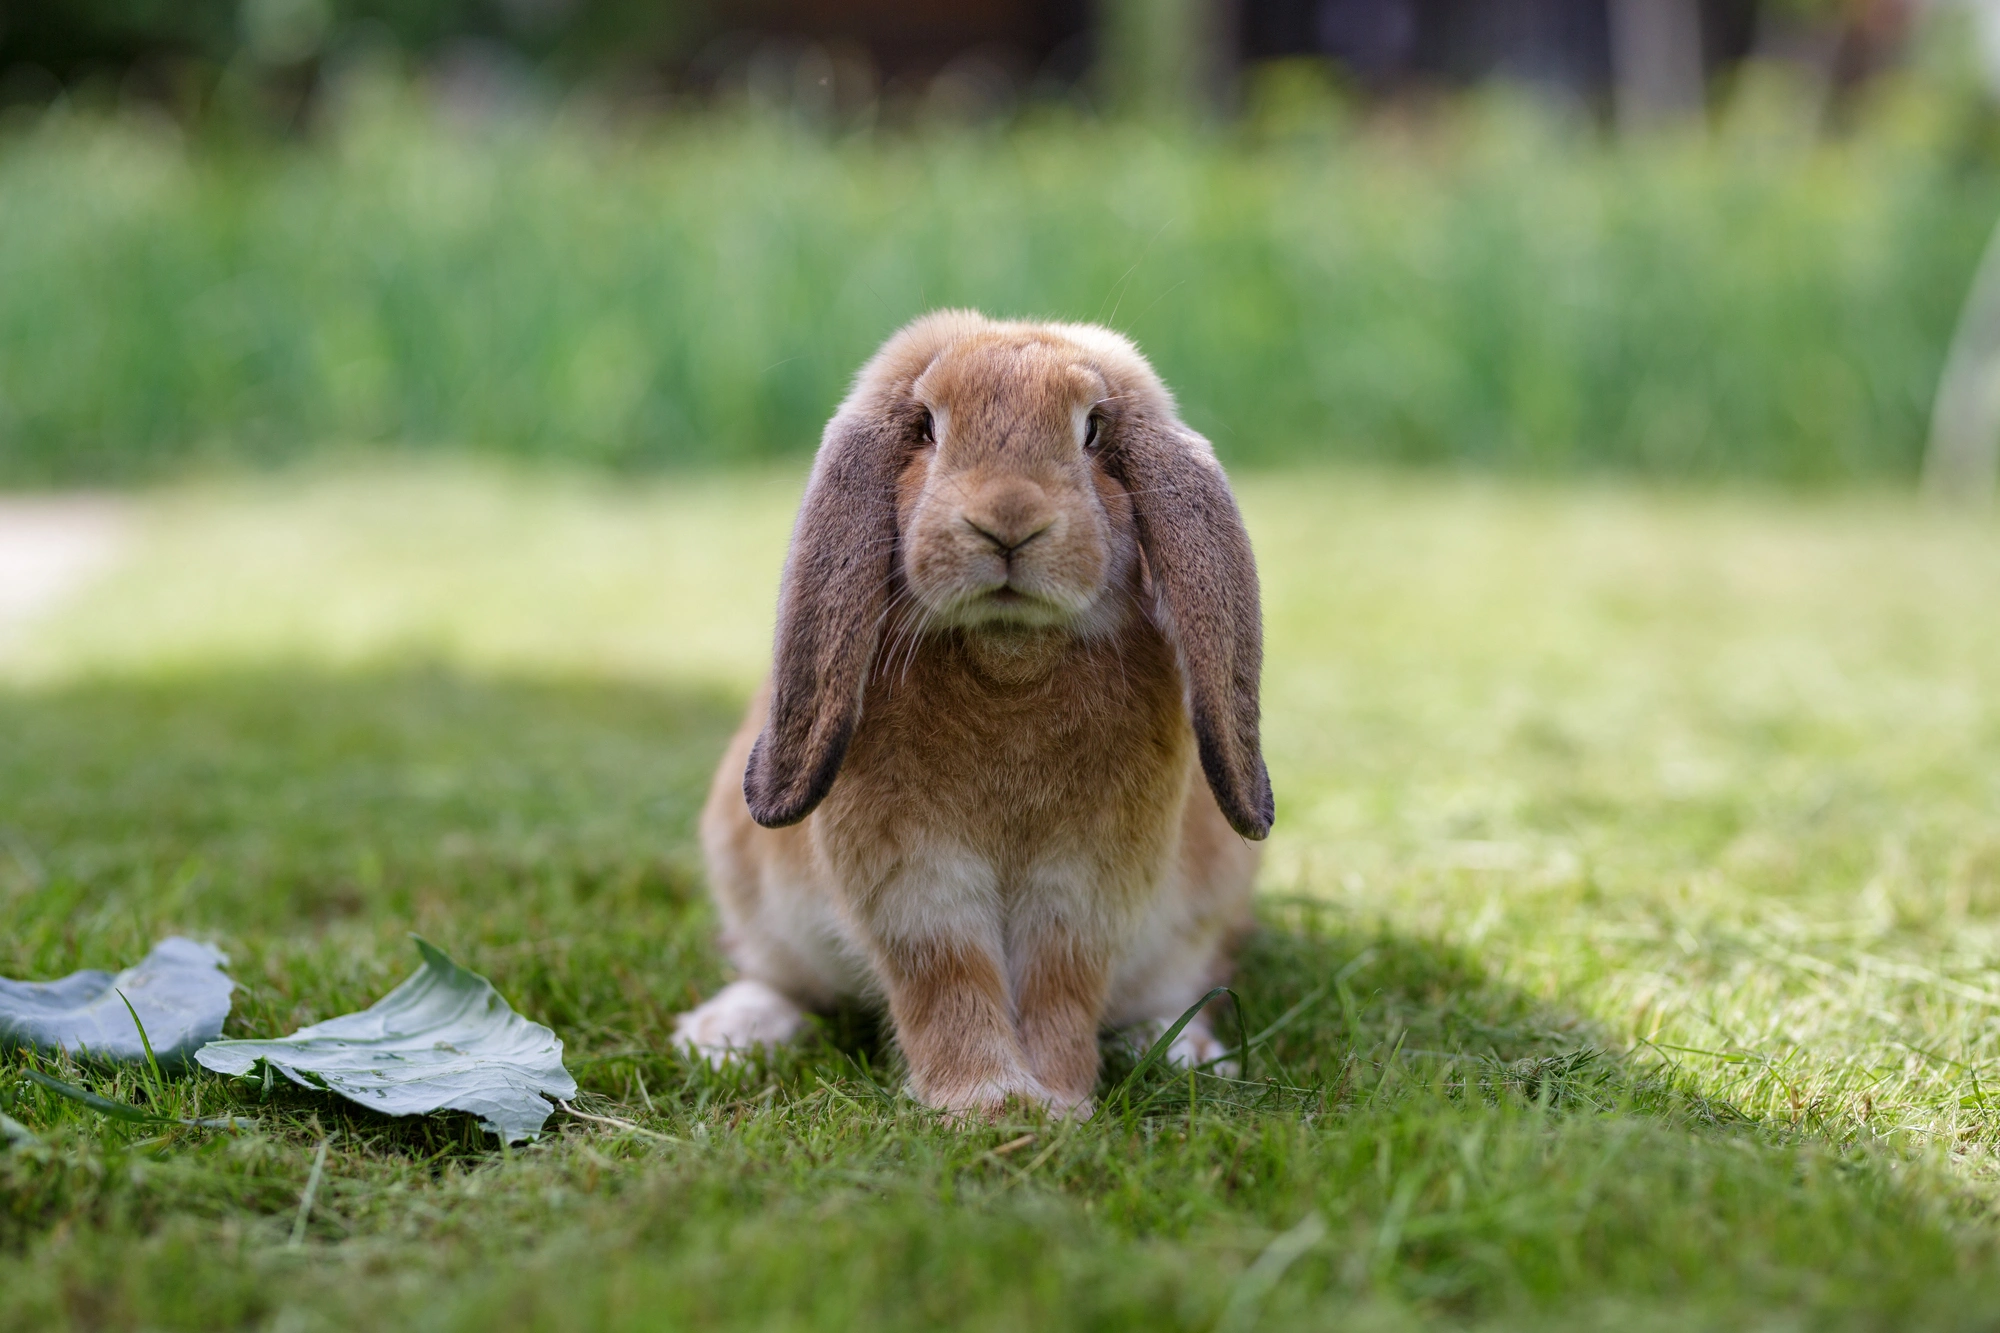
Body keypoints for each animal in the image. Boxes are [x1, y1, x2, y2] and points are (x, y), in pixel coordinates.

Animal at [672, 308, 1264, 1112]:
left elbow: (1060, 986)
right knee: (779, 978)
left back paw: (1191, 1055)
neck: (1008, 658)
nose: (1007, 520)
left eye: (1094, 431)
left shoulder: (1085, 889)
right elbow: (946, 979)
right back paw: (724, 1037)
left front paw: (1055, 1103)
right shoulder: (916, 883)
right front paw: (988, 1105)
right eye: (925, 426)